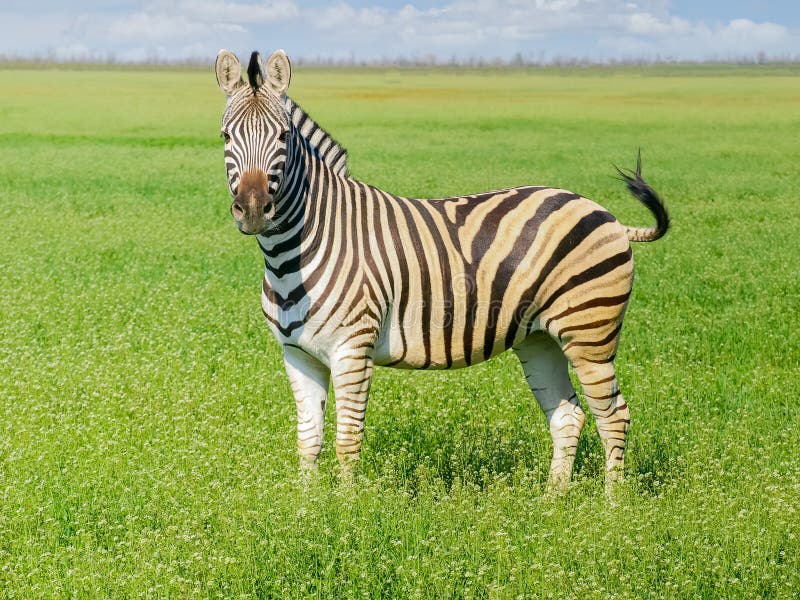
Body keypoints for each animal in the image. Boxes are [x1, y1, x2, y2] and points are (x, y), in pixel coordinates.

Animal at [214, 49, 669, 491]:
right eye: (225, 136)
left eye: (283, 136)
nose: (253, 209)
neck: (291, 257)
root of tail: (605, 213)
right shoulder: (298, 354)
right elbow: (308, 441)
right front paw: (306, 507)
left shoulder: (353, 349)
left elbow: (346, 442)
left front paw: (345, 509)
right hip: (540, 338)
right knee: (567, 415)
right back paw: (553, 501)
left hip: (589, 332)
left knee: (614, 416)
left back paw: (610, 506)